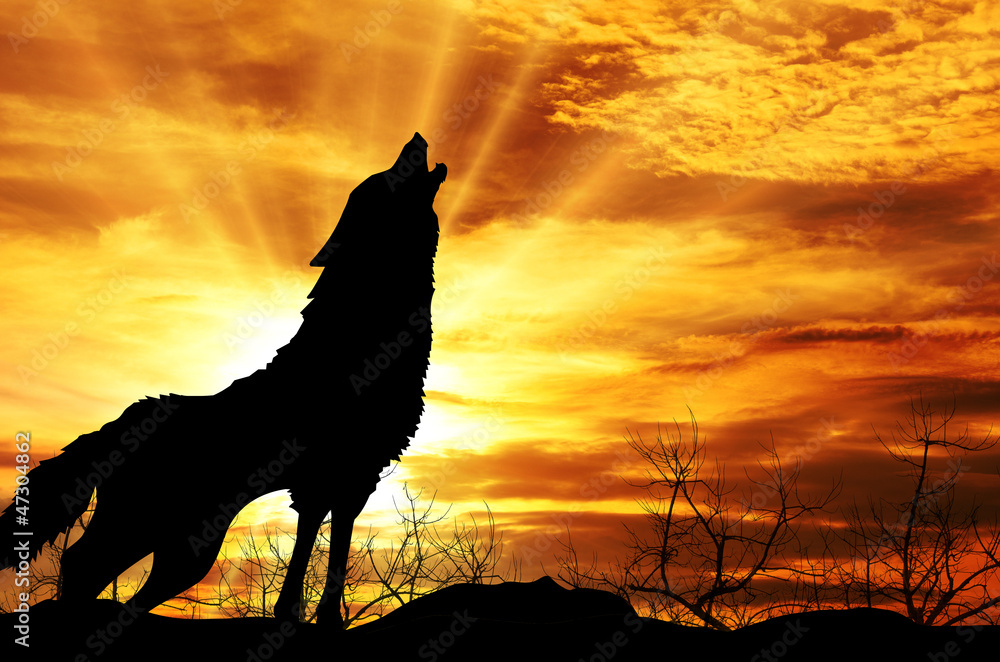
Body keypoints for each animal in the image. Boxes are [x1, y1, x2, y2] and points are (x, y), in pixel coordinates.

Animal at [0, 133, 446, 627]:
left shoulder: (327, 480)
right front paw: (325, 619)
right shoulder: (351, 472)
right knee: (81, 564)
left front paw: (292, 615)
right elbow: (333, 545)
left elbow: (316, 538)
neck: (363, 337)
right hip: (153, 530)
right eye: (385, 178)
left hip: (184, 550)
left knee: (101, 576)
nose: (416, 138)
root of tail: (116, 424)